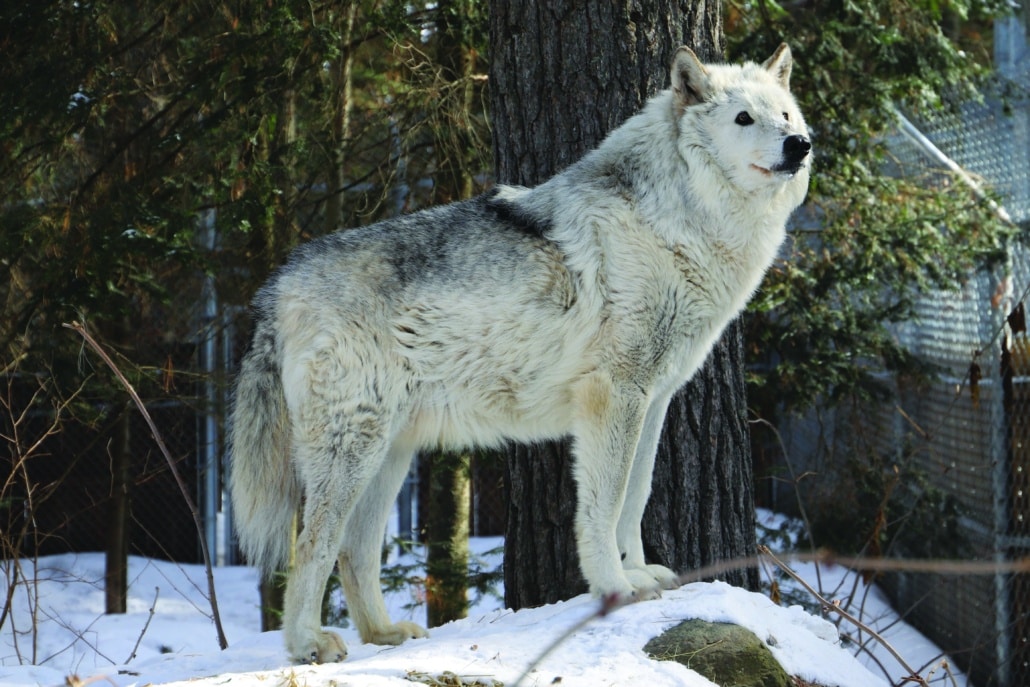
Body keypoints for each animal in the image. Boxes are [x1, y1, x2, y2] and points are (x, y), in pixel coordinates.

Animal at [228, 43, 810, 663]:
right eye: (744, 119)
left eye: (785, 115)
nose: (799, 145)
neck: (677, 221)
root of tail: (277, 285)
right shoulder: (614, 395)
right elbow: (604, 505)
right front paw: (615, 588)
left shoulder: (653, 401)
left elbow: (636, 497)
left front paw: (641, 574)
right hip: (351, 455)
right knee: (312, 545)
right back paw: (307, 645)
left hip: (389, 458)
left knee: (353, 551)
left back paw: (384, 635)